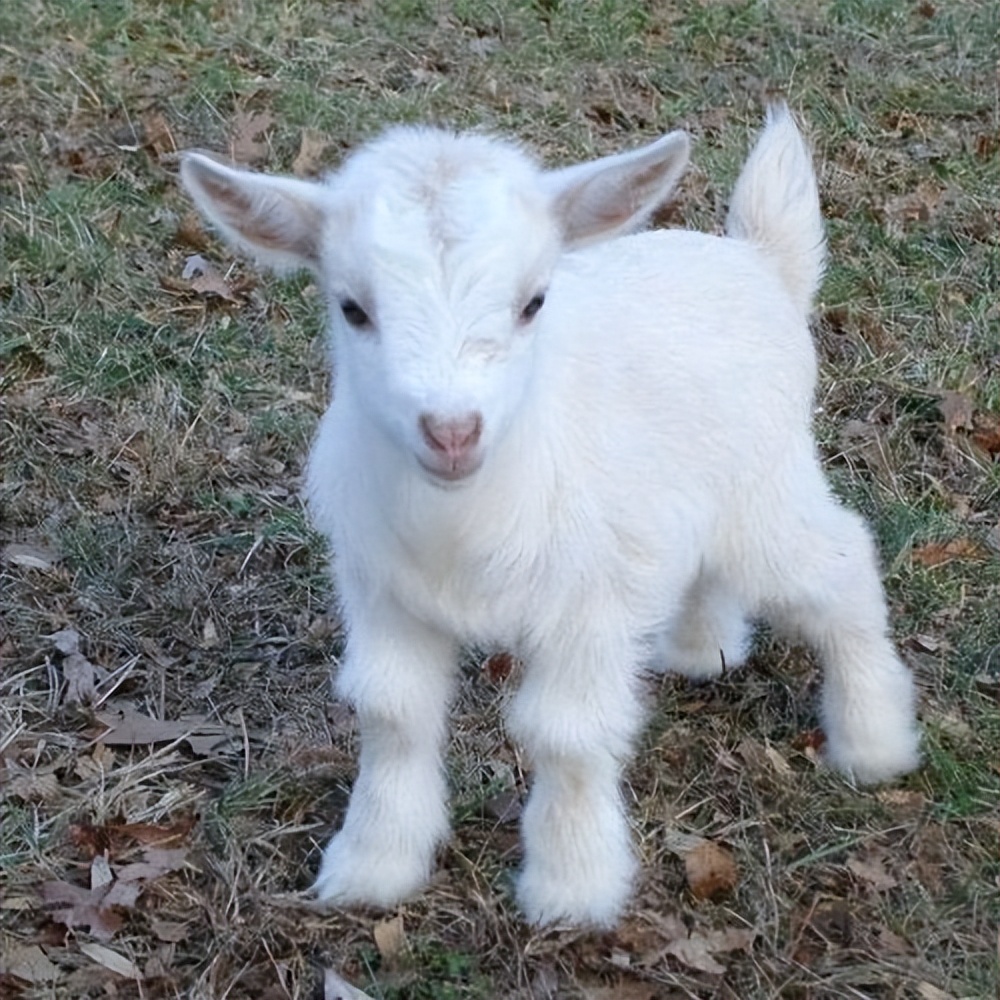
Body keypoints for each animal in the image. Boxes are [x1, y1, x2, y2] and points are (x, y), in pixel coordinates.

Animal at [180, 104, 921, 928]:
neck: (464, 523)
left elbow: (565, 734)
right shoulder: (383, 590)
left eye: (534, 301)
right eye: (353, 308)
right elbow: (393, 713)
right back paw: (705, 651)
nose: (452, 432)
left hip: (766, 491)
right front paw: (373, 864)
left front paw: (571, 889)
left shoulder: (589, 603)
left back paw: (873, 740)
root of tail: (761, 262)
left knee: (840, 563)